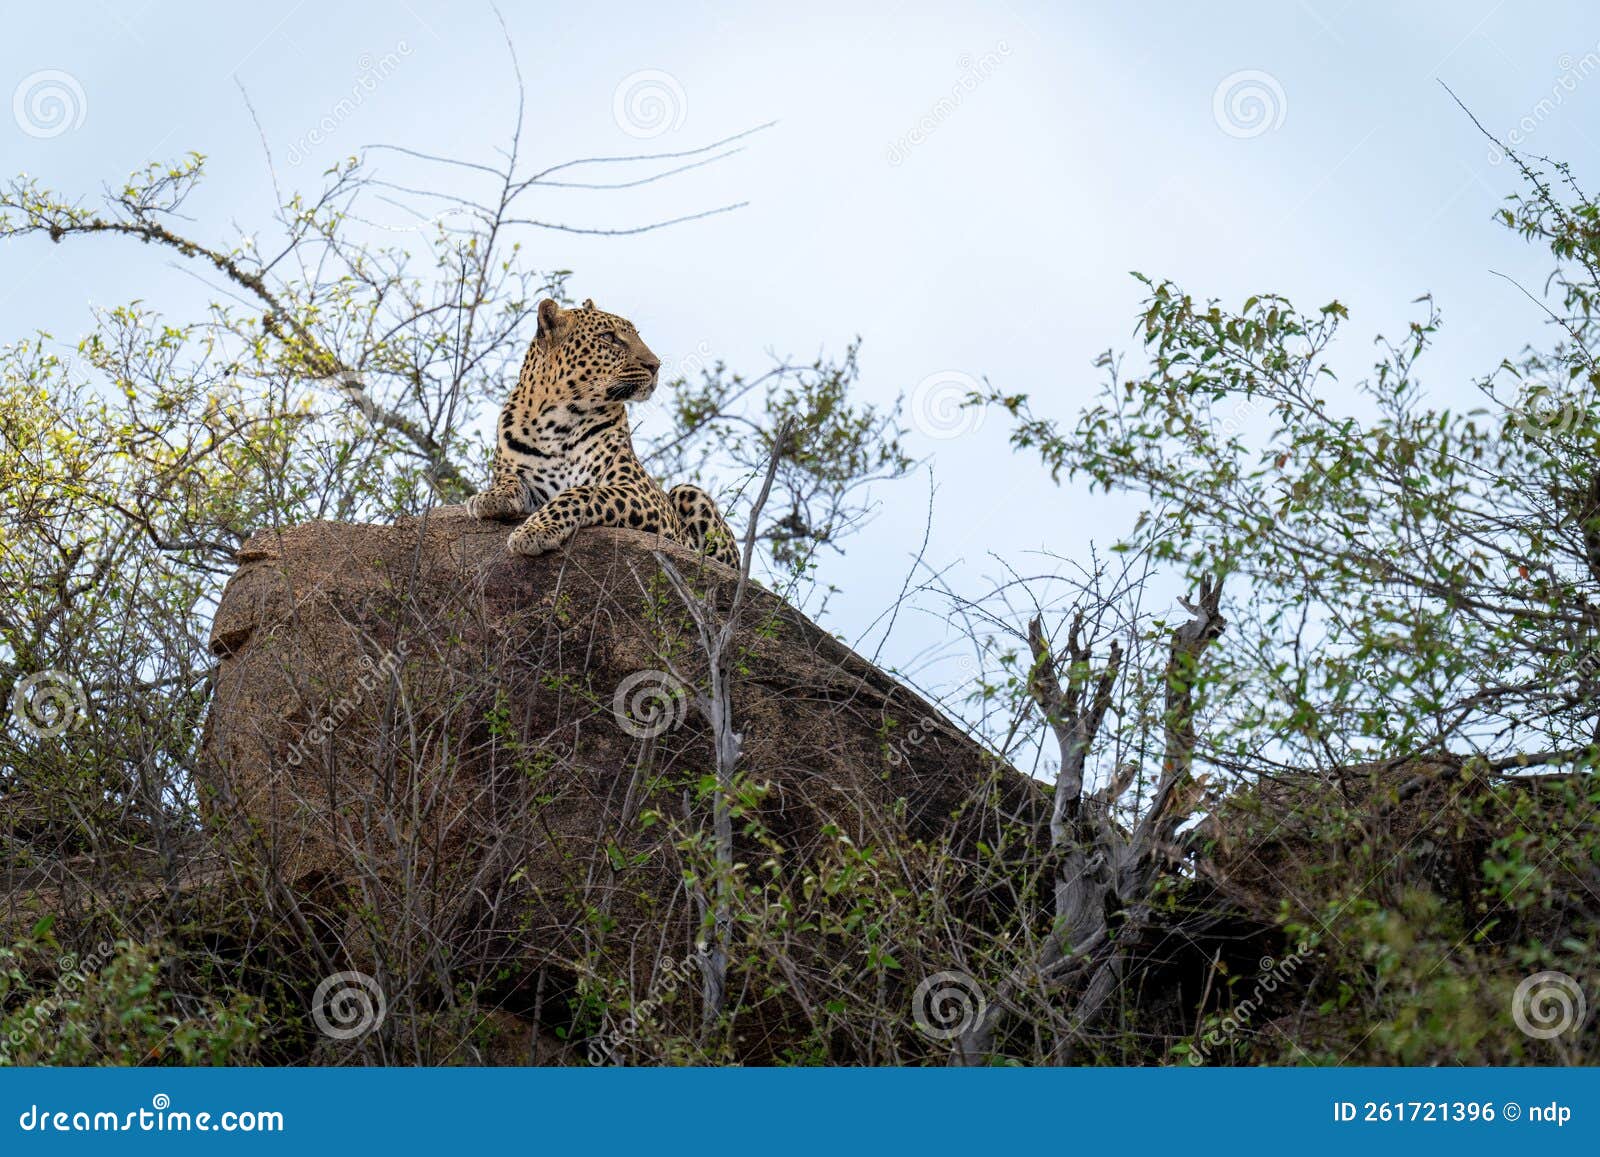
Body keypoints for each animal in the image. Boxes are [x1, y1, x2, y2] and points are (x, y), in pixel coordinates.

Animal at [465, 297, 740, 568]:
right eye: (609, 337)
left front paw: (533, 531)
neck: (556, 422)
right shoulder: (530, 482)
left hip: (689, 492)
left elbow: (579, 493)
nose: (655, 365)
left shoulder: (638, 490)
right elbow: (508, 479)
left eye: (636, 335)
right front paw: (489, 497)